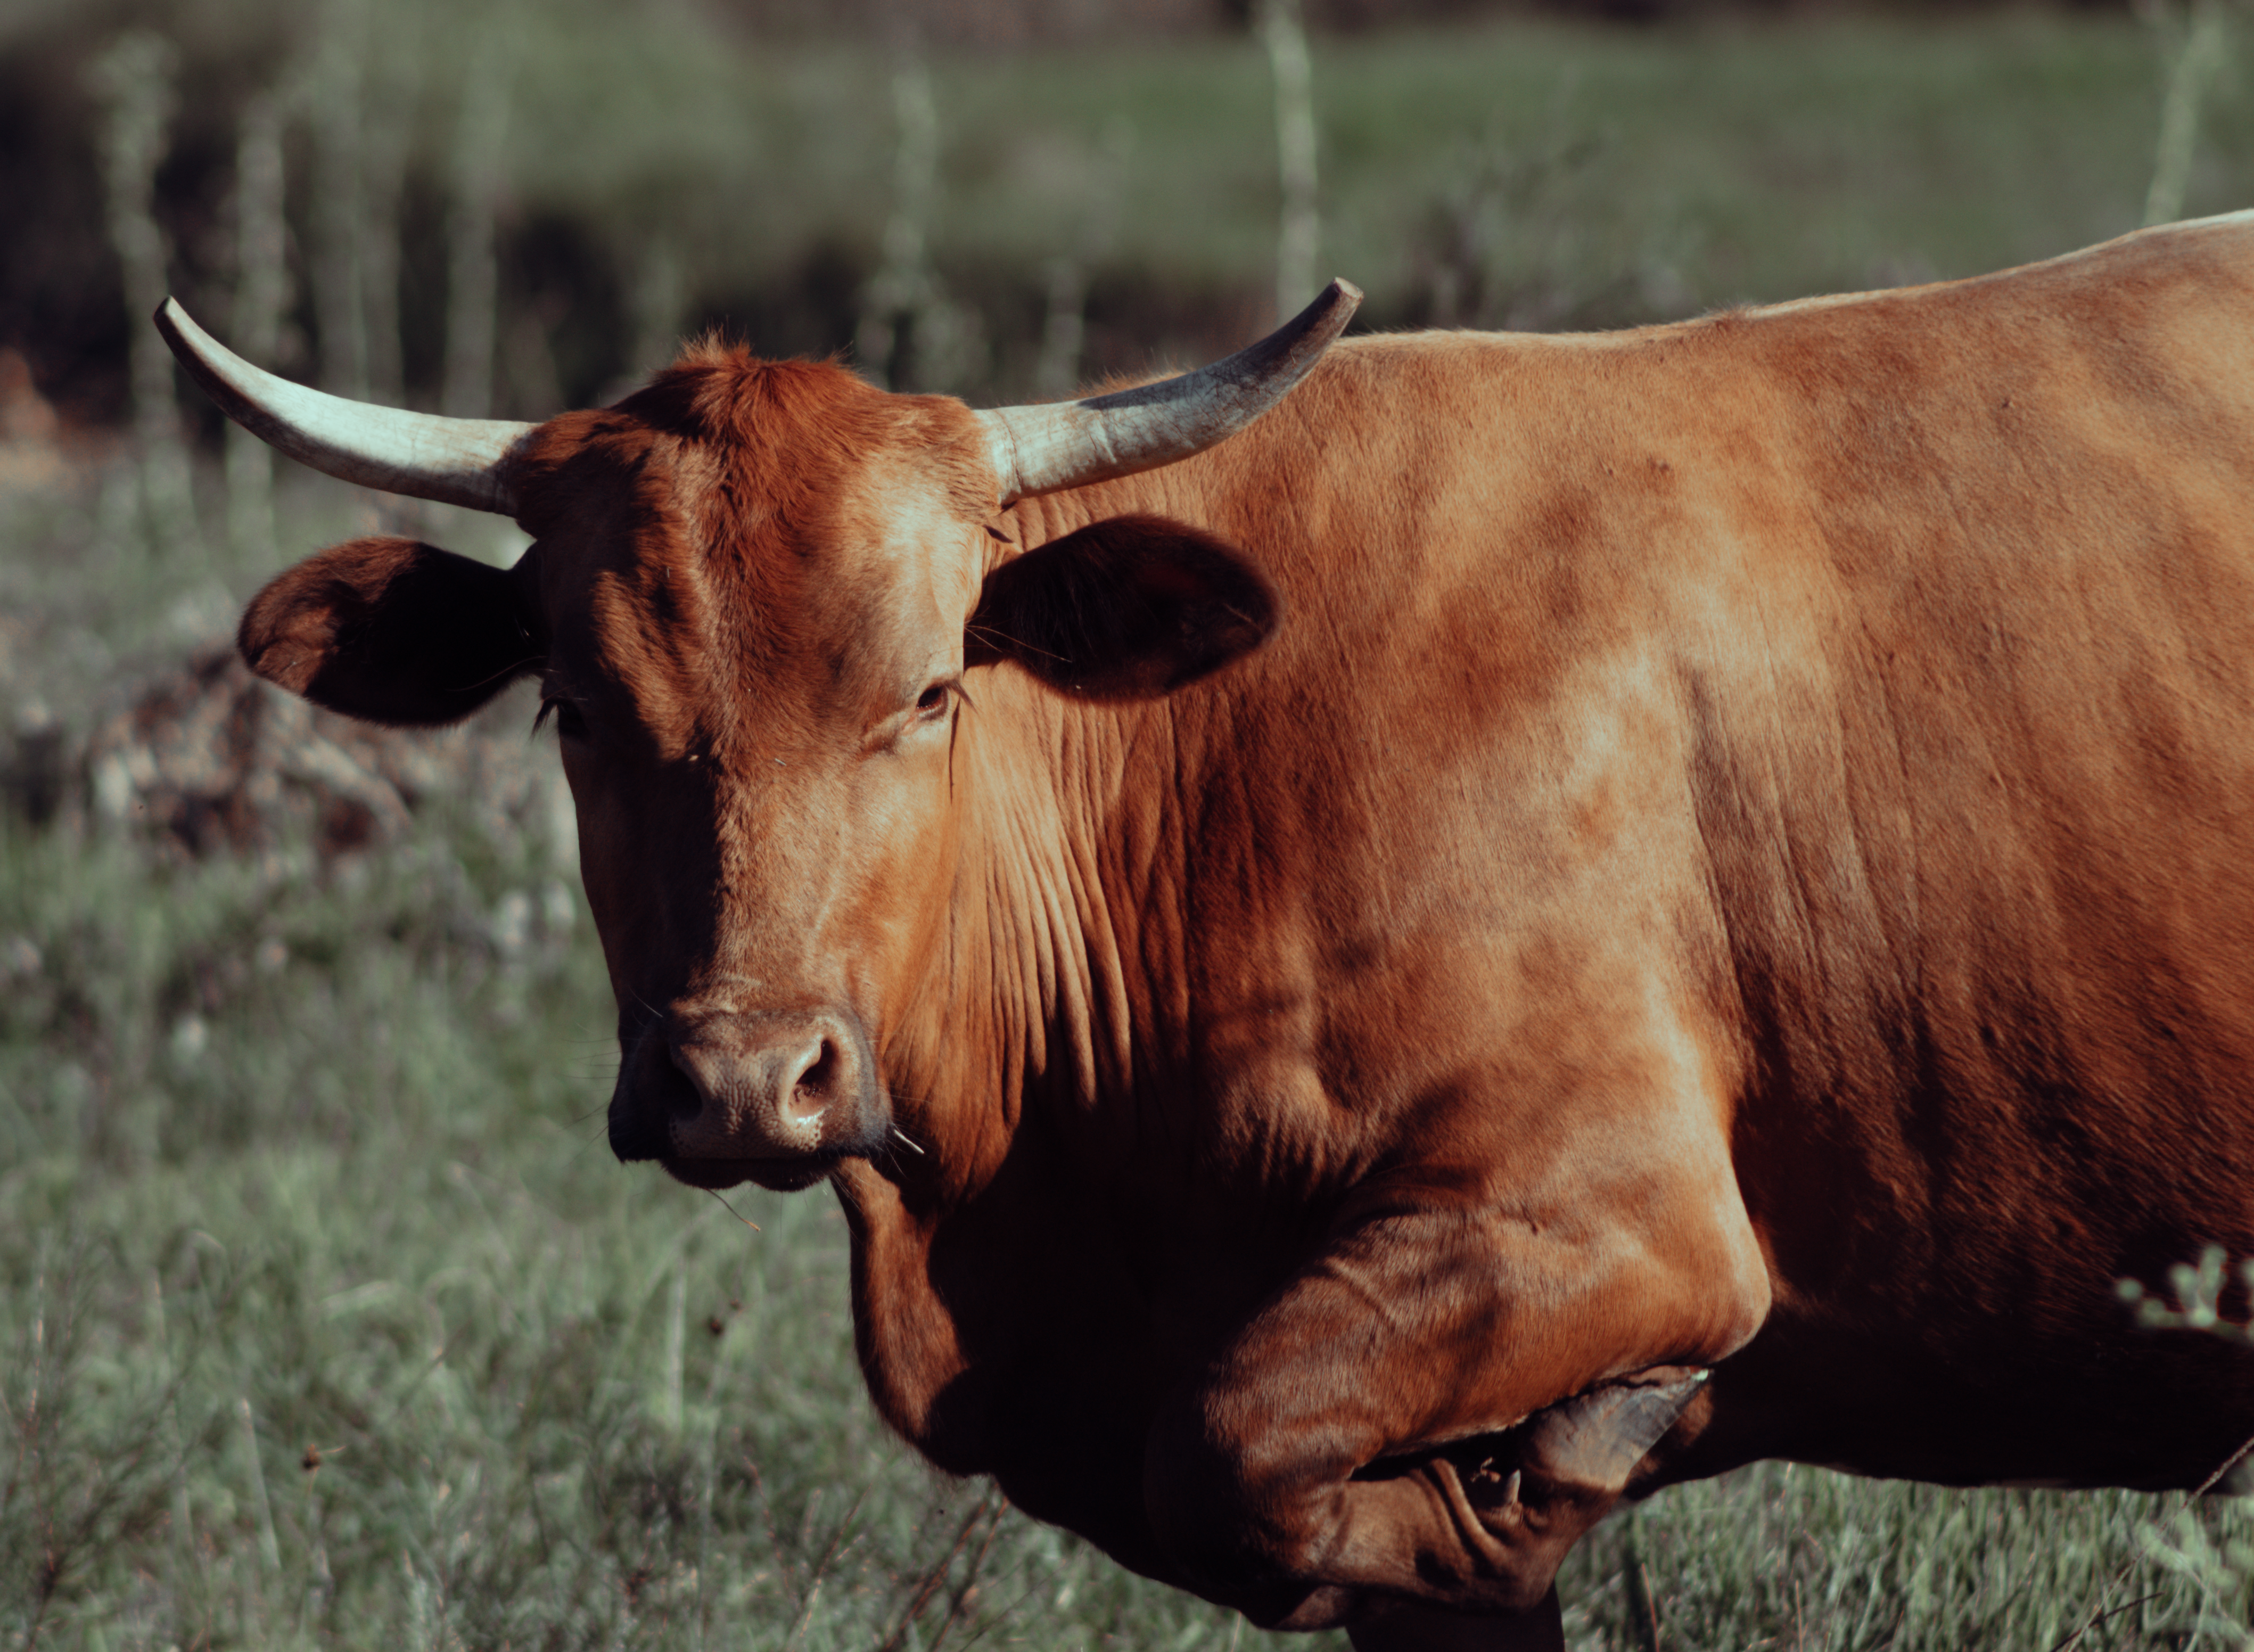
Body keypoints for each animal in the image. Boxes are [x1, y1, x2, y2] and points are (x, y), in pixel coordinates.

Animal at [159, 210, 2254, 1650]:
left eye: (933, 689)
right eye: (574, 707)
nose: (744, 1080)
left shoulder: (1614, 1222)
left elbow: (1233, 1439)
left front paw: (1569, 1463)